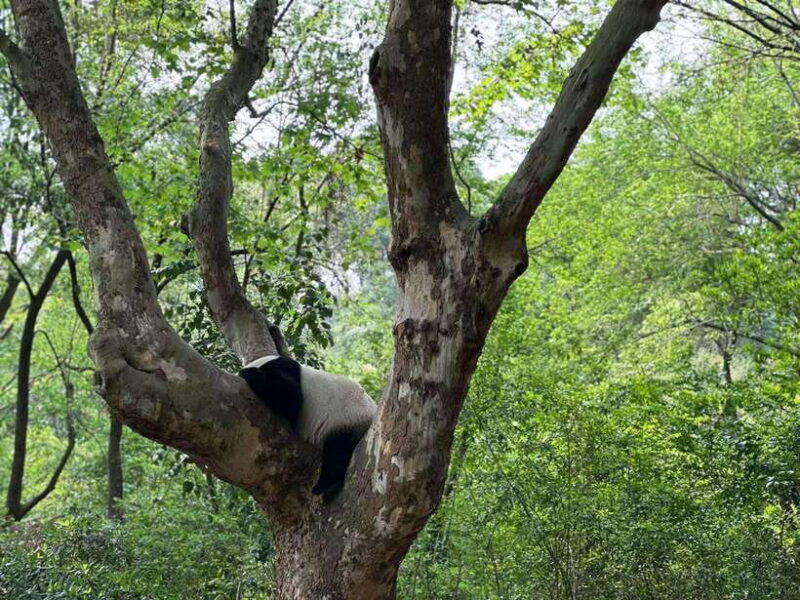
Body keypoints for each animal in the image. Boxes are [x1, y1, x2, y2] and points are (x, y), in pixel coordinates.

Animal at [239, 355, 377, 496]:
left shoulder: (285, 367)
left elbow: (291, 398)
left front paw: (249, 374)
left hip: (350, 421)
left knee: (337, 451)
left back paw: (325, 485)